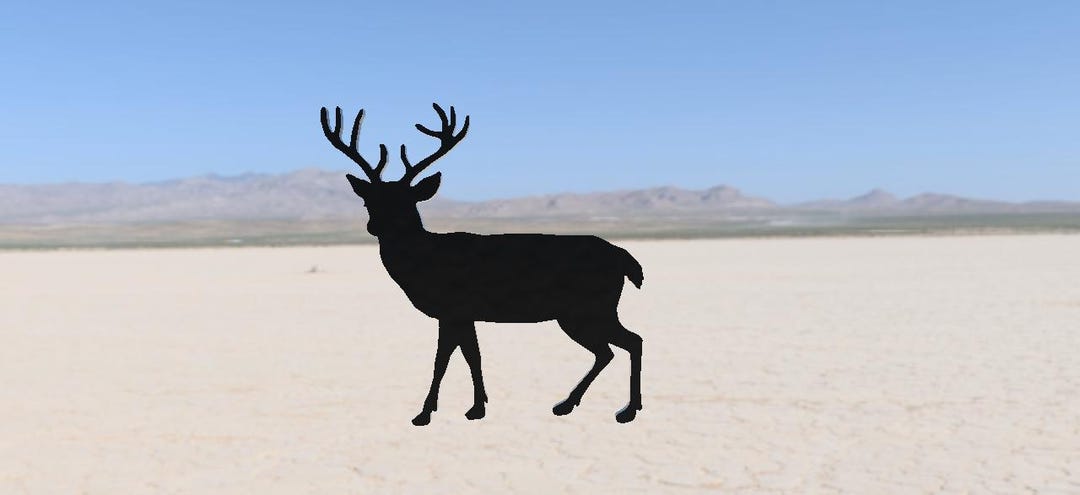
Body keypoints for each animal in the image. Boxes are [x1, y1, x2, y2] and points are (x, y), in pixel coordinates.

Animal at [320, 103, 645, 425]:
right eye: (368, 202)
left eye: (405, 203)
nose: (374, 226)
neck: (426, 261)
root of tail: (624, 258)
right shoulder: (463, 315)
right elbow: (471, 356)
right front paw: (477, 406)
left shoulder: (453, 309)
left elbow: (444, 360)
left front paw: (428, 412)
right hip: (581, 313)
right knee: (610, 350)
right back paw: (569, 404)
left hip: (591, 308)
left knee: (631, 342)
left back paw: (626, 410)